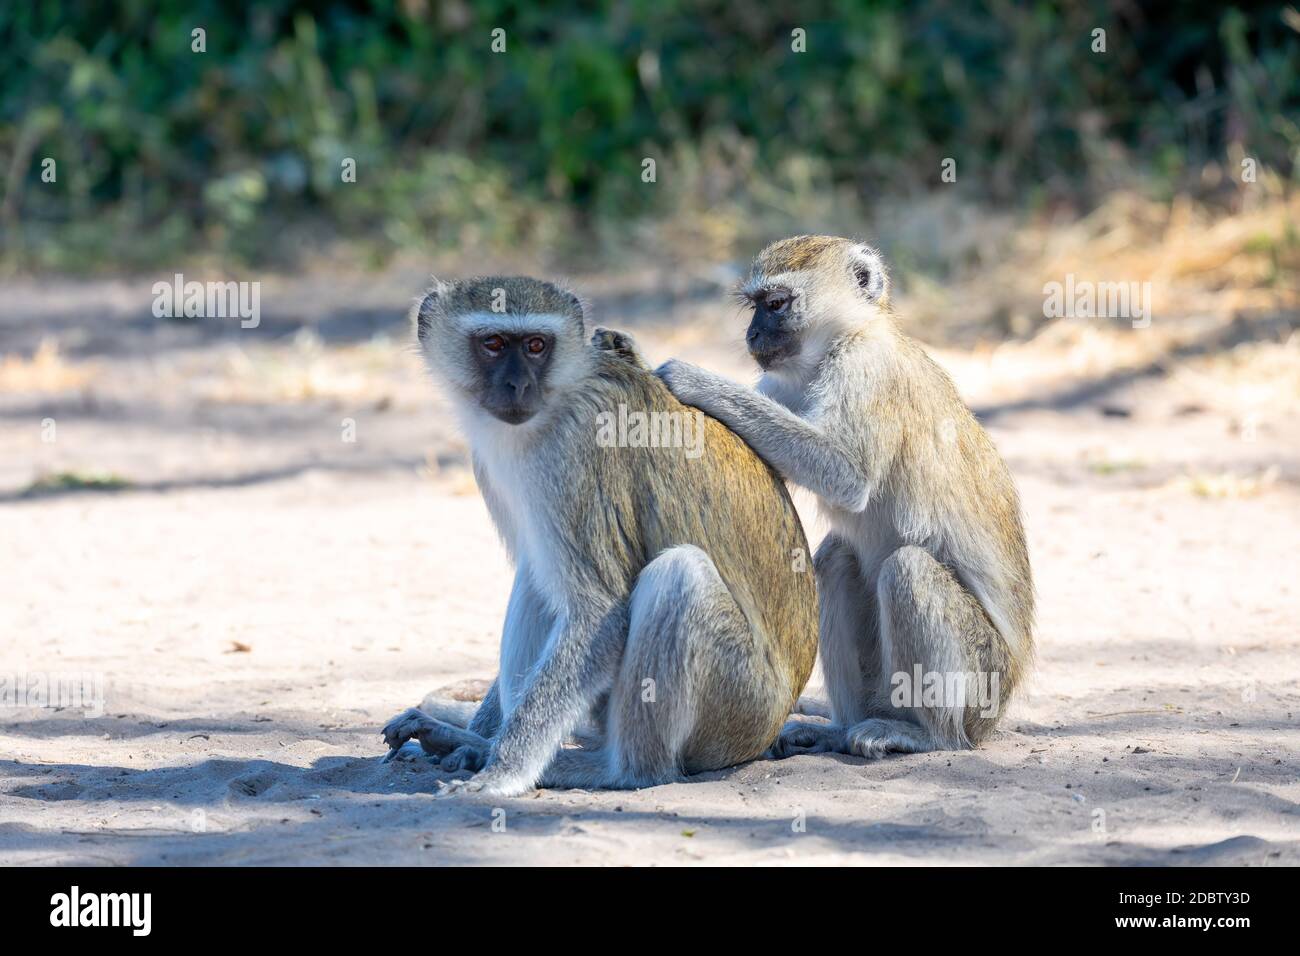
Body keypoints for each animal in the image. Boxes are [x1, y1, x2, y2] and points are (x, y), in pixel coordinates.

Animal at [381, 276, 818, 797]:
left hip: (739, 710)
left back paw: (617, 772)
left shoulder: (574, 452)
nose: (517, 386)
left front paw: (500, 773)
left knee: (679, 575)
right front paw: (474, 740)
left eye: (536, 345)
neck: (557, 398)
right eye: (494, 343)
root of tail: (774, 723)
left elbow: (598, 613)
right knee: (538, 575)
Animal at [656, 235, 1034, 759]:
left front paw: (691, 379)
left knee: (907, 570)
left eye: (776, 304)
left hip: (983, 686)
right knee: (837, 559)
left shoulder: (864, 370)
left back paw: (930, 735)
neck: (849, 336)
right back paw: (840, 728)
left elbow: (845, 475)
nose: (752, 336)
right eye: (754, 307)